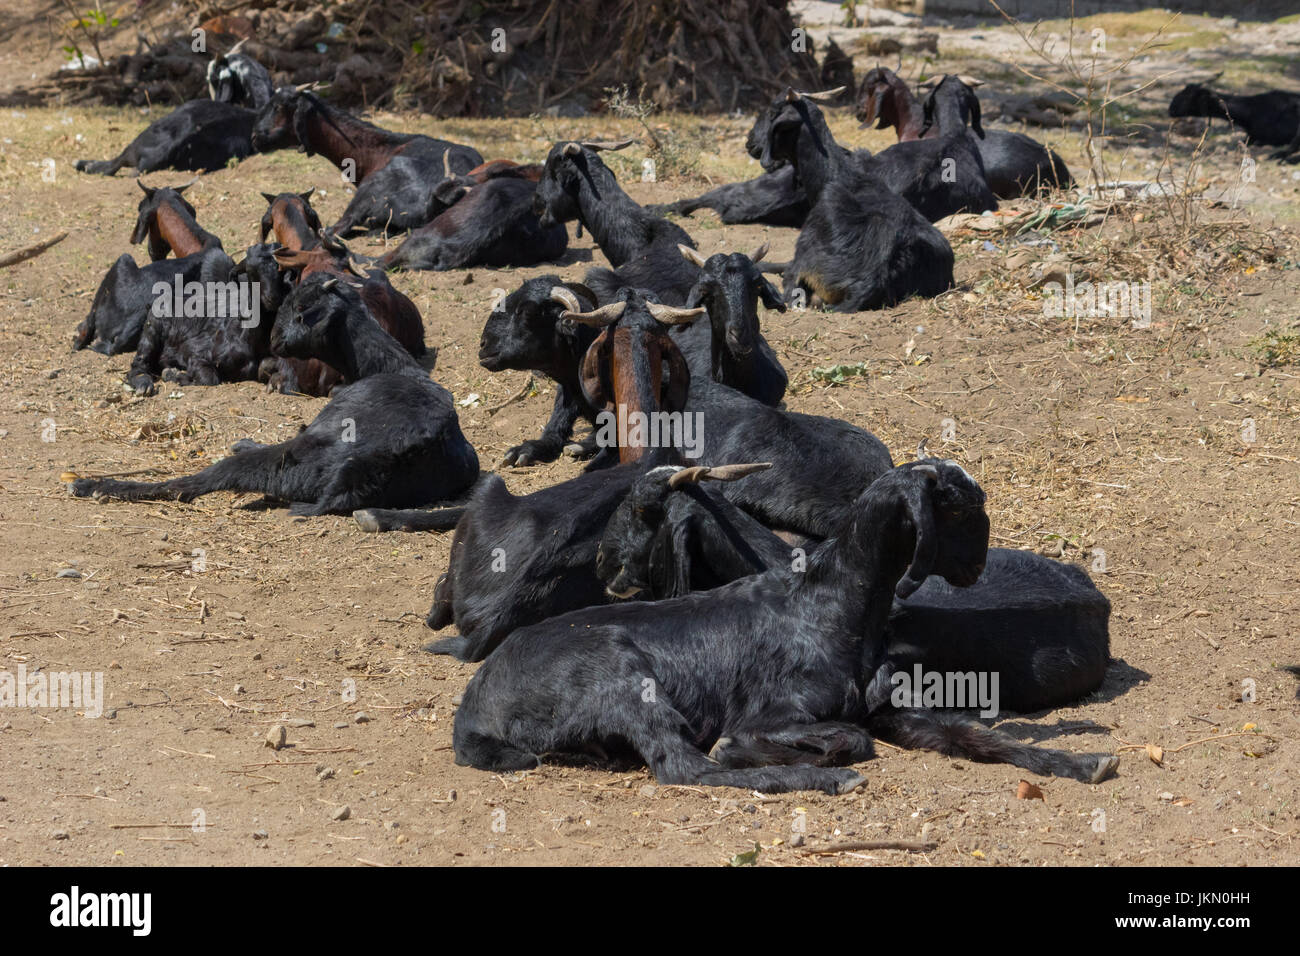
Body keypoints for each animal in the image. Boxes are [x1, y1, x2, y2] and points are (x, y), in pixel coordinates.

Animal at [71, 274, 478, 515]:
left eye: (297, 308)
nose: (275, 340)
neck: (391, 365)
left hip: (287, 458)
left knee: (190, 483)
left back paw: (92, 485)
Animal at [126, 243, 289, 395]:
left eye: (281, 269)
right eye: (250, 271)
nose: (272, 298)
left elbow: (268, 364)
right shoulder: (196, 353)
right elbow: (209, 378)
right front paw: (173, 374)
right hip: (151, 332)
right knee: (138, 365)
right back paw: (144, 384)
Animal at [251, 87, 483, 235]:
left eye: (278, 107)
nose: (254, 136)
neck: (381, 149)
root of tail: (431, 202)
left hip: (369, 191)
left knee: (336, 229)